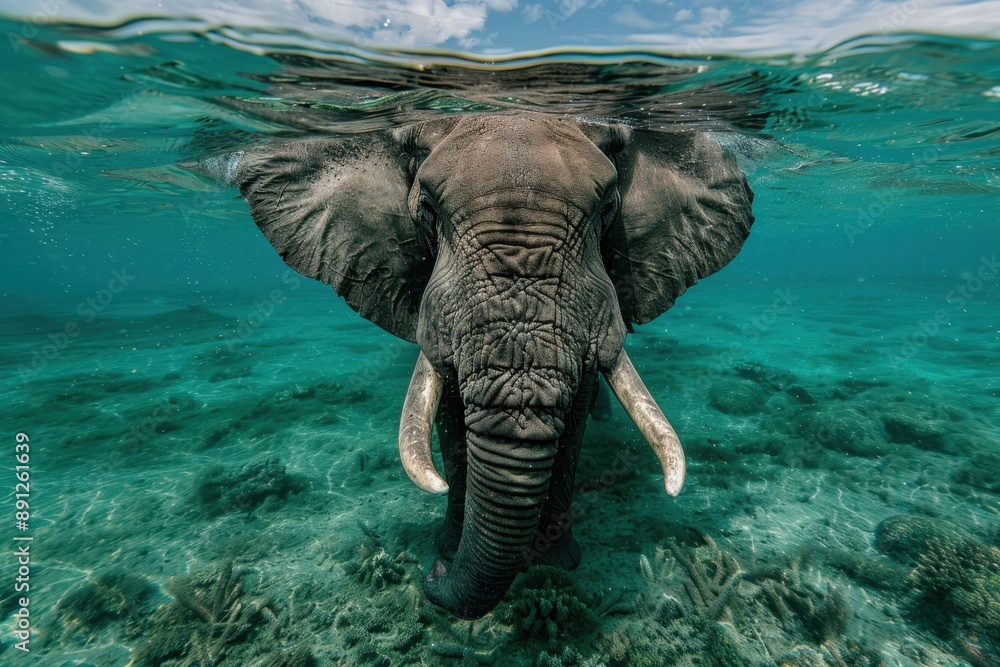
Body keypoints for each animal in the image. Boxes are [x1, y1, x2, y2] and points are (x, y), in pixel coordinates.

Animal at [221, 112, 754, 619]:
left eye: (607, 210)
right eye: (427, 209)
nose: (432, 574)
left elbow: (575, 412)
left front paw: (550, 563)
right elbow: (447, 407)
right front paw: (449, 547)